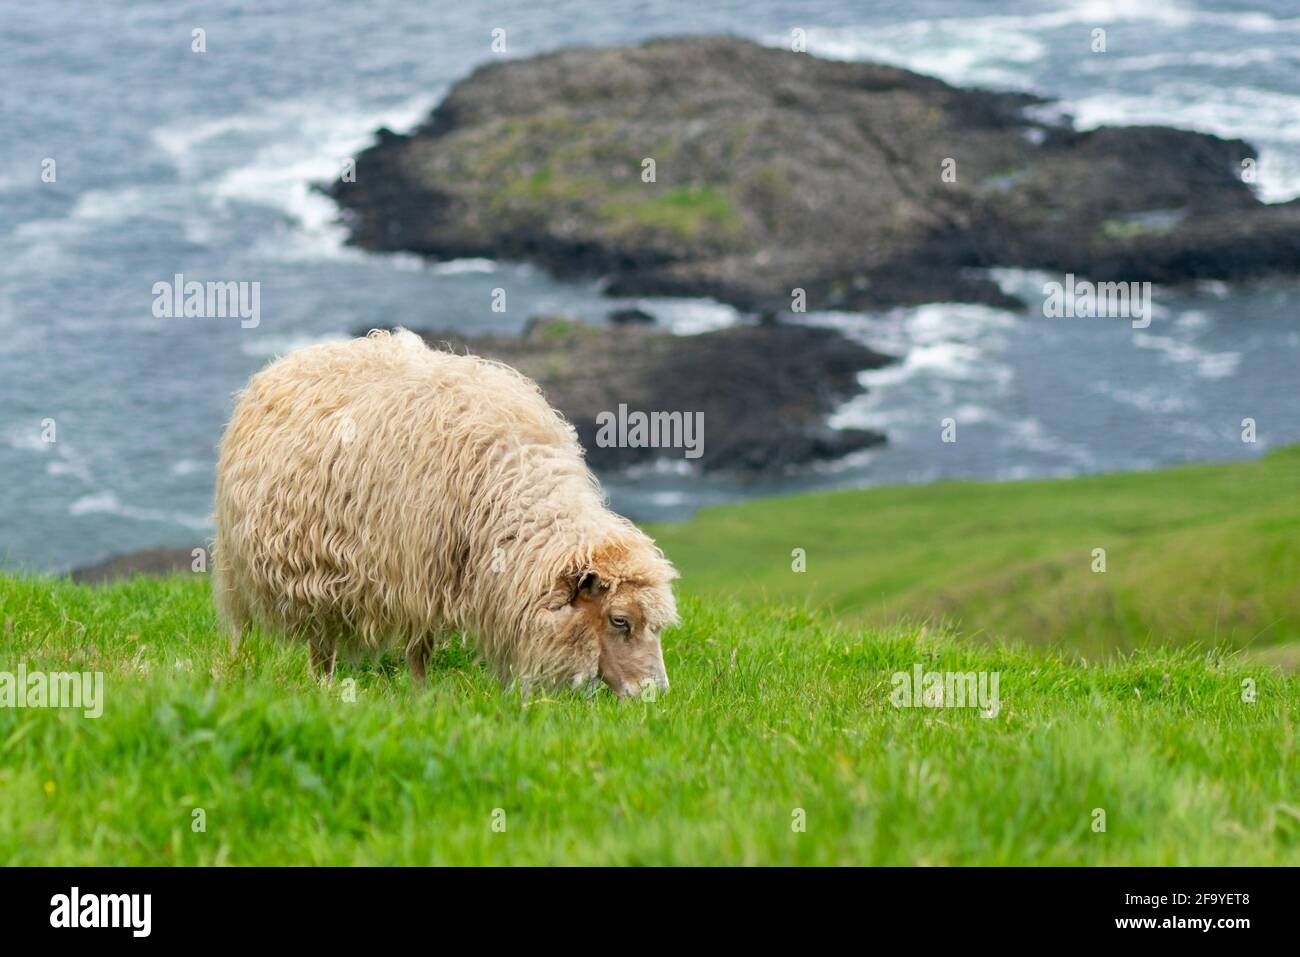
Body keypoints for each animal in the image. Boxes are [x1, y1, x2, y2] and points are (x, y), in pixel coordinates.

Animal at [212, 328, 679, 696]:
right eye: (620, 620)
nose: (655, 695)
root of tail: (297, 356)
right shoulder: (415, 571)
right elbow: (419, 649)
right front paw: (421, 700)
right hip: (271, 569)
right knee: (291, 638)